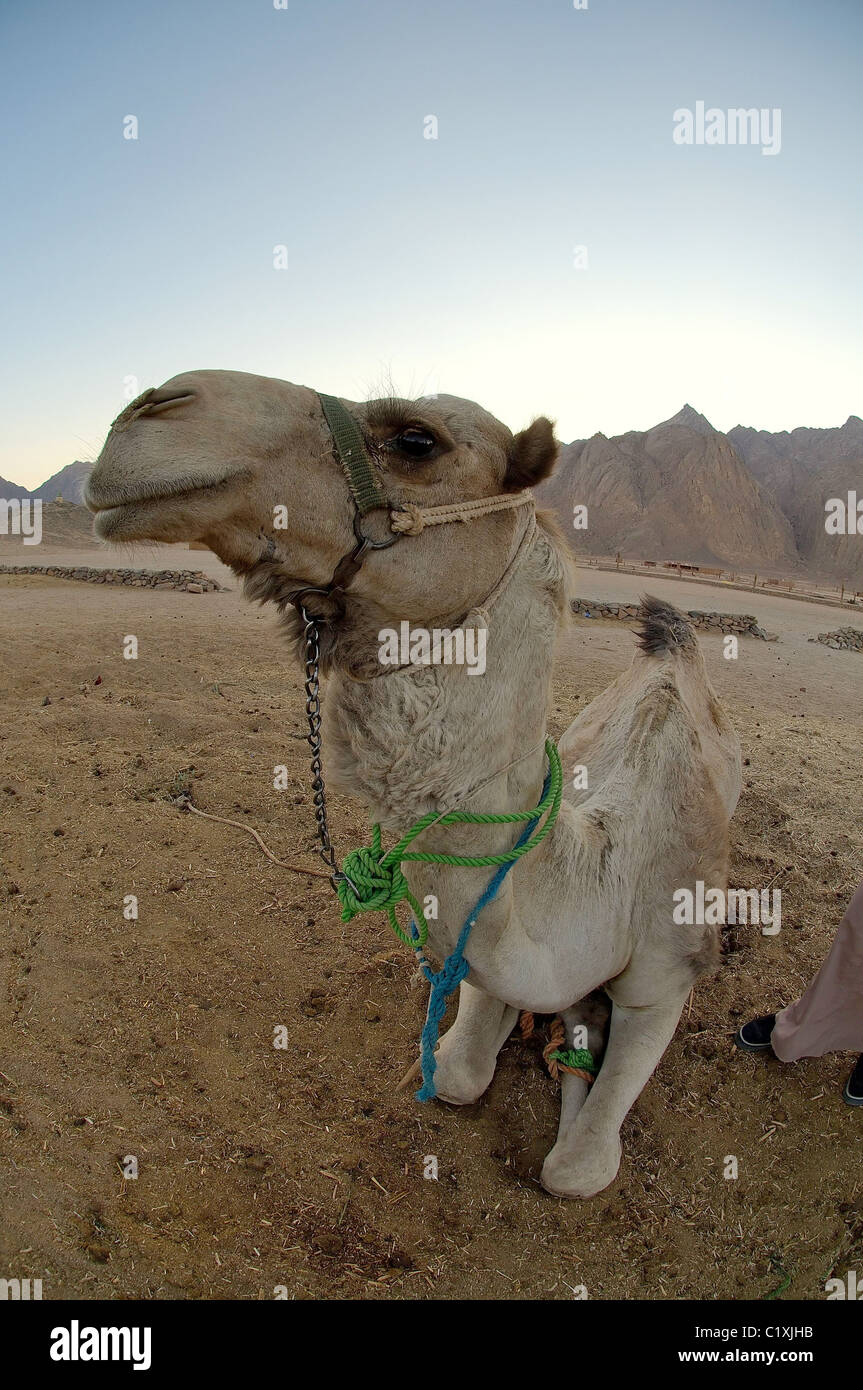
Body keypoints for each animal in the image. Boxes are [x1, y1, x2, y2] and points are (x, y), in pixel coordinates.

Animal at [85, 370, 741, 1198]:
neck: (603, 879)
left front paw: (579, 1053)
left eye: (415, 439)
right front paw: (561, 1034)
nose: (151, 407)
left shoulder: (668, 976)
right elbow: (458, 1072)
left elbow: (575, 1168)